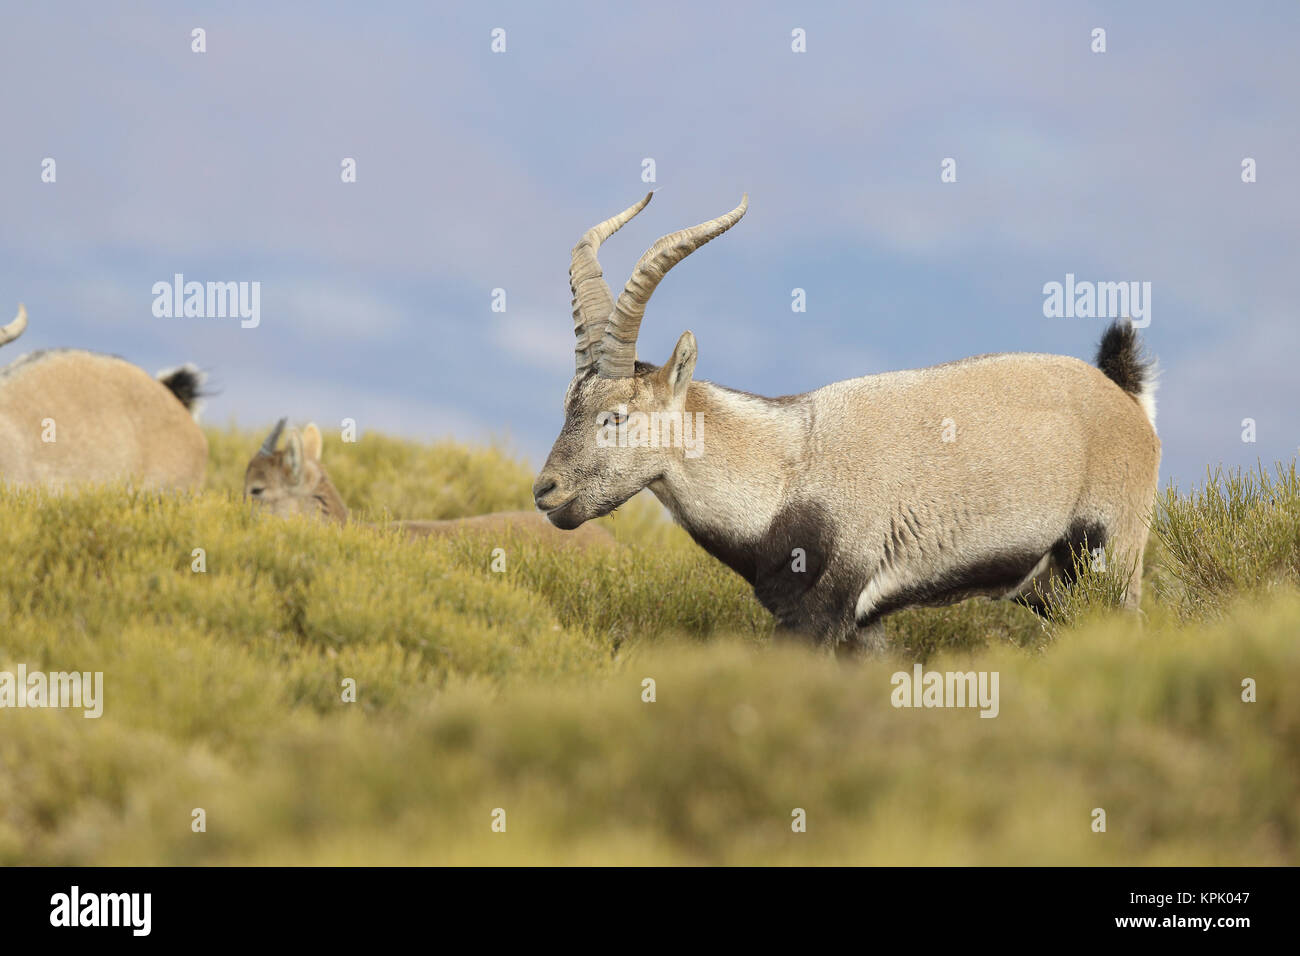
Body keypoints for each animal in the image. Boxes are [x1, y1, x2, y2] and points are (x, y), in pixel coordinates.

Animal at [532, 194, 1161, 652]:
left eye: (617, 415)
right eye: (567, 402)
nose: (545, 491)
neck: (785, 469)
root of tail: (1127, 400)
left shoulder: (820, 614)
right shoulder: (861, 624)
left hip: (1112, 557)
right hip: (1050, 588)